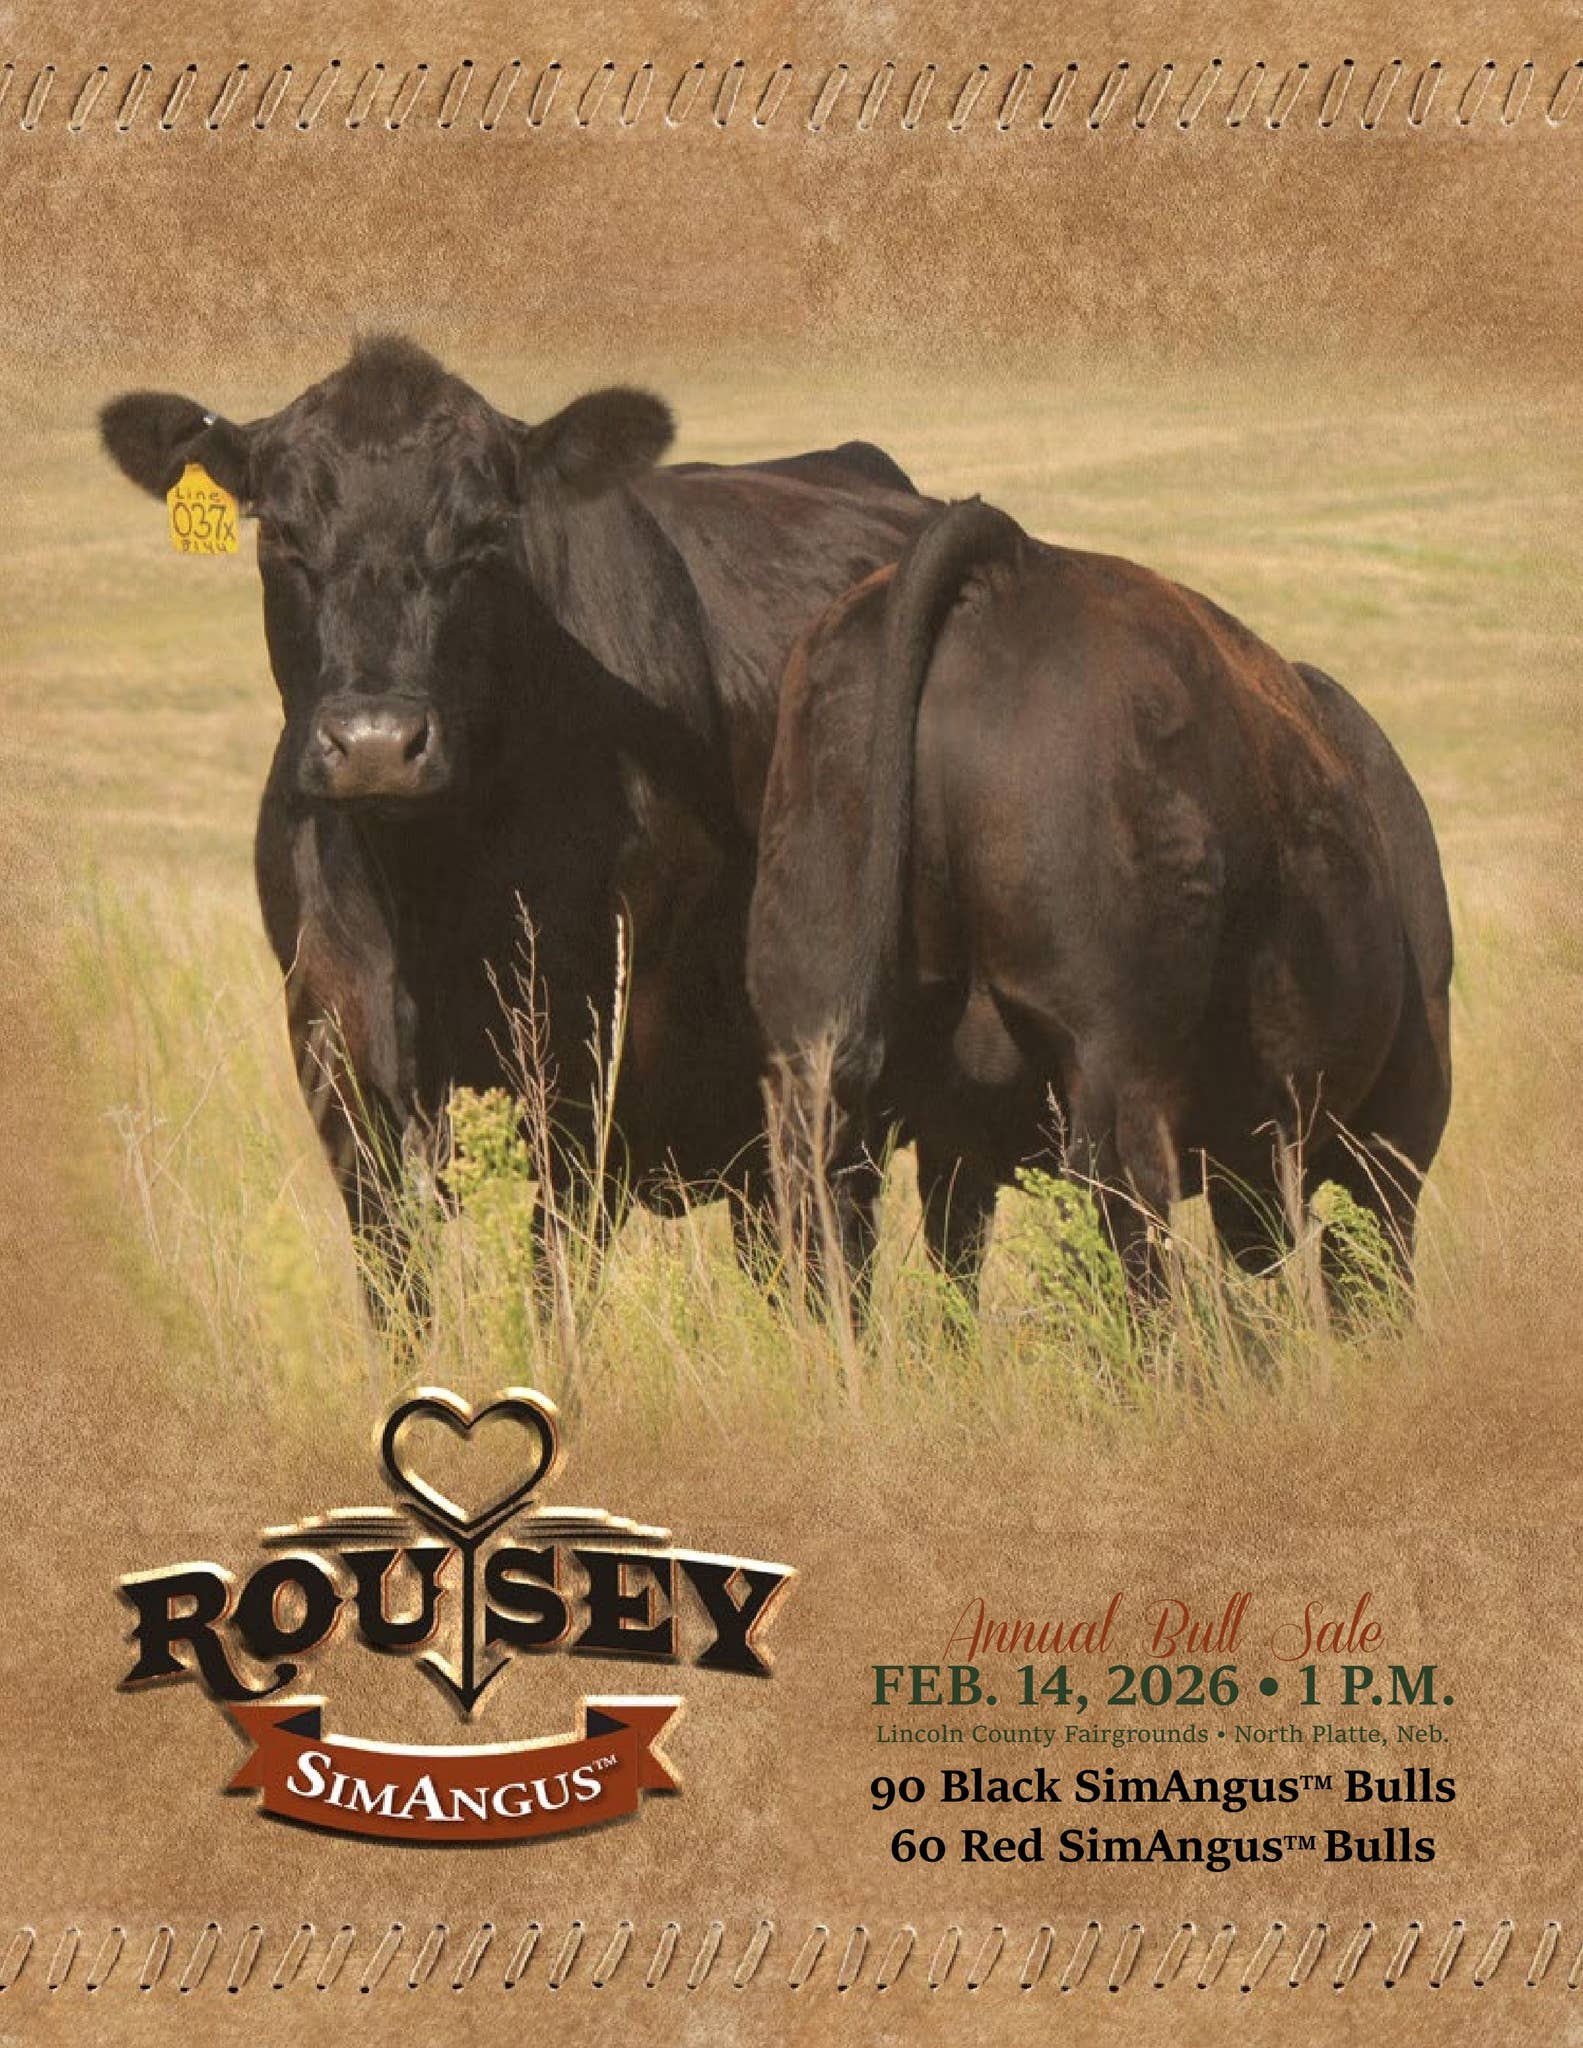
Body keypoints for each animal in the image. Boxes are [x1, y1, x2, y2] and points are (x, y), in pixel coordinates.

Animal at [99, 335, 933, 1305]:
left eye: (484, 535)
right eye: (280, 531)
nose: (376, 743)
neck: (424, 897)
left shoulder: (581, 1086)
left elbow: (550, 1297)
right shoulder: (341, 1082)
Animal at [747, 497, 1453, 1312]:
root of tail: (1012, 559)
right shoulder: (1390, 1126)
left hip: (812, 1038)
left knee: (842, 1222)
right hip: (1117, 1066)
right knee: (1128, 1226)